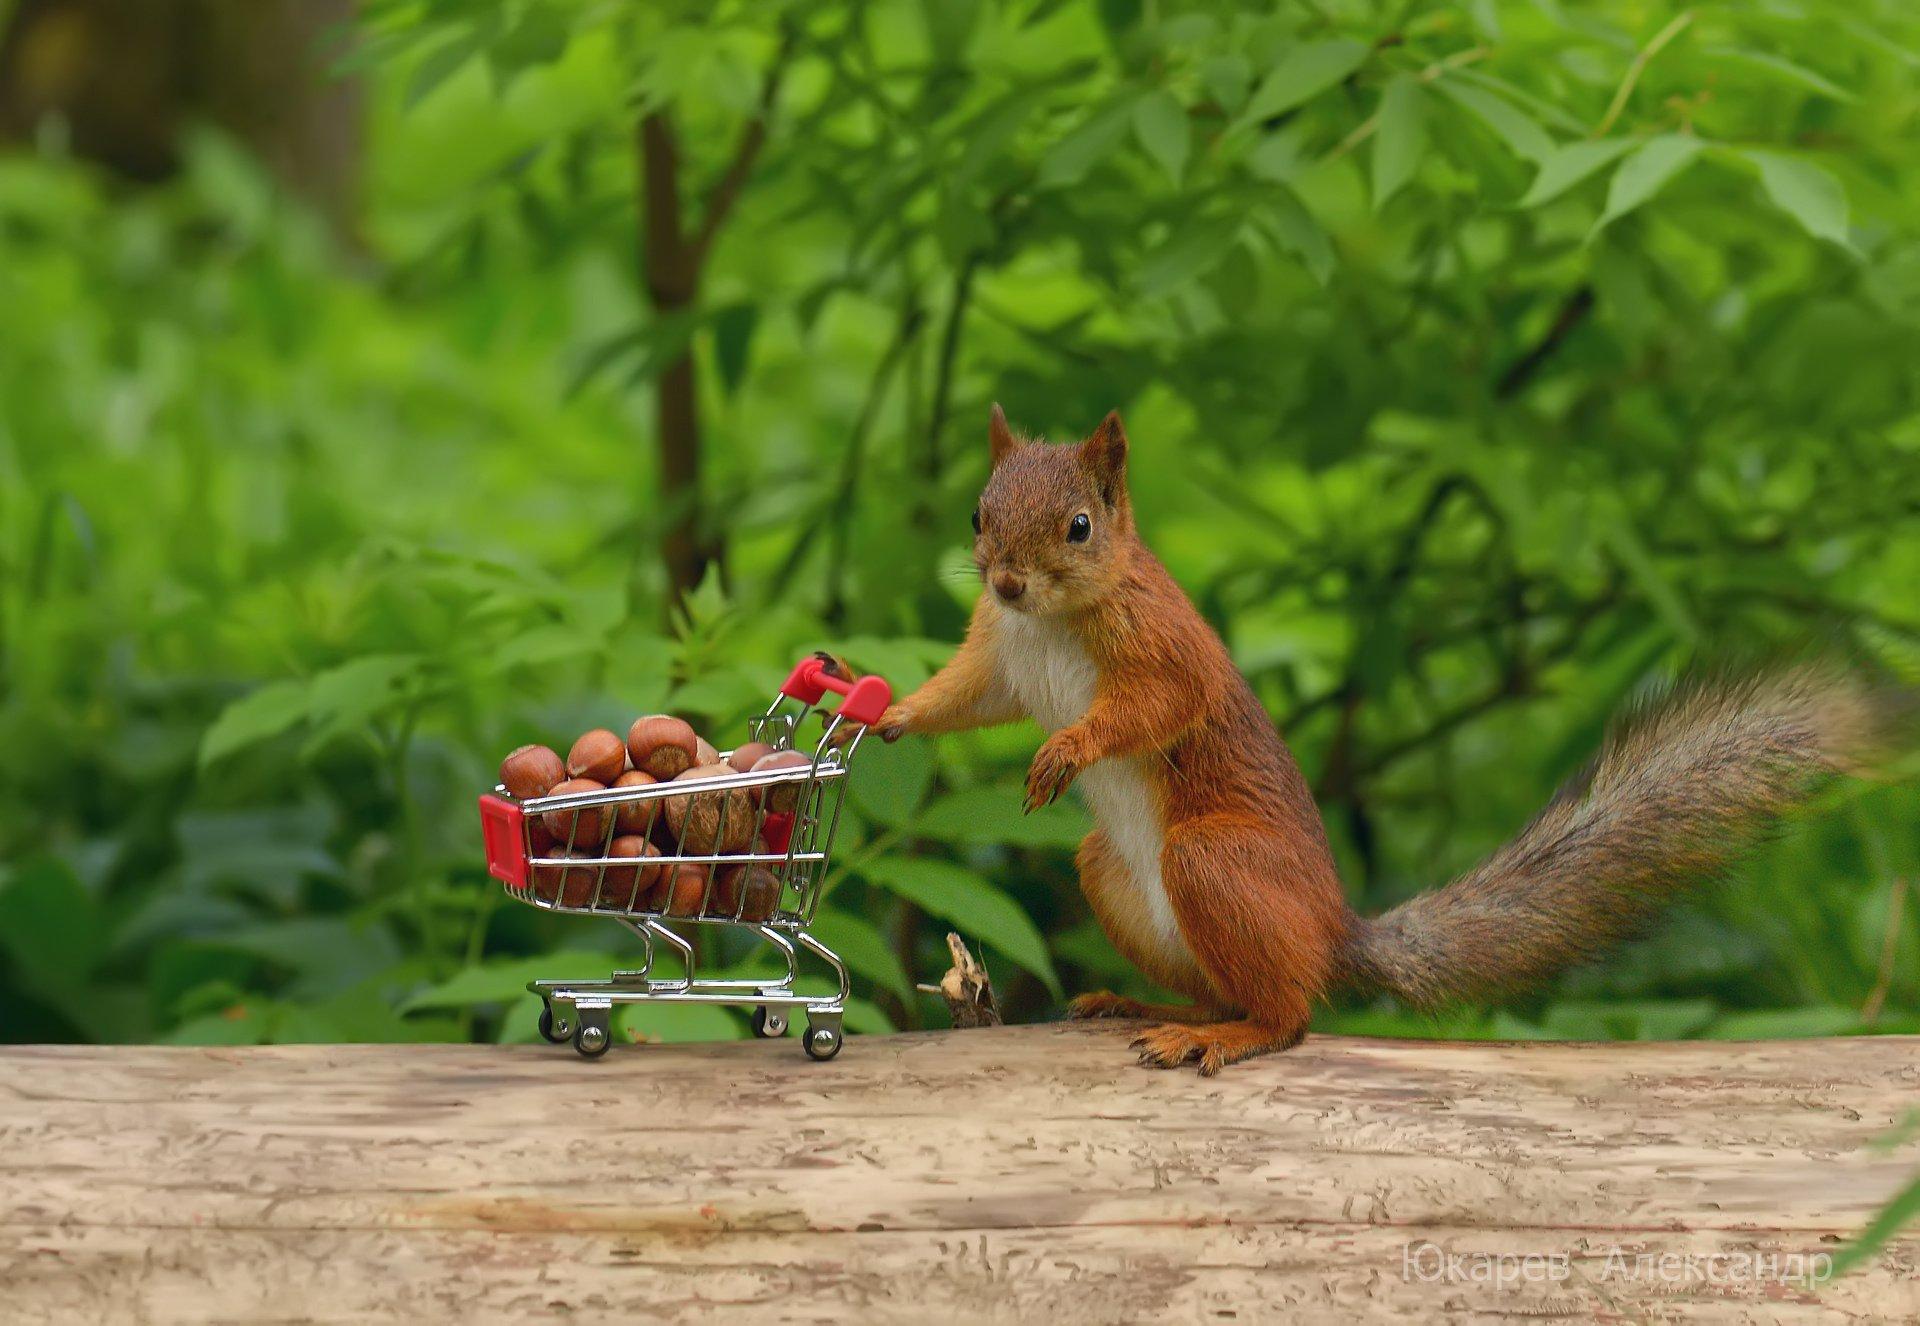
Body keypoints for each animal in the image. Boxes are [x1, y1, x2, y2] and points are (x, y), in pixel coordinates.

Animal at [873, 405, 1912, 1074]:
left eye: (1081, 525)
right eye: (978, 513)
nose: (1006, 579)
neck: (1048, 621)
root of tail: (1337, 936)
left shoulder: (1163, 651)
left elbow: (1154, 707)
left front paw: (1068, 749)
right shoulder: (998, 653)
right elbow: (962, 698)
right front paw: (888, 716)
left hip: (1212, 860)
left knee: (1287, 1015)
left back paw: (1223, 1036)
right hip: (1113, 873)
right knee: (1227, 987)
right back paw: (1149, 1004)